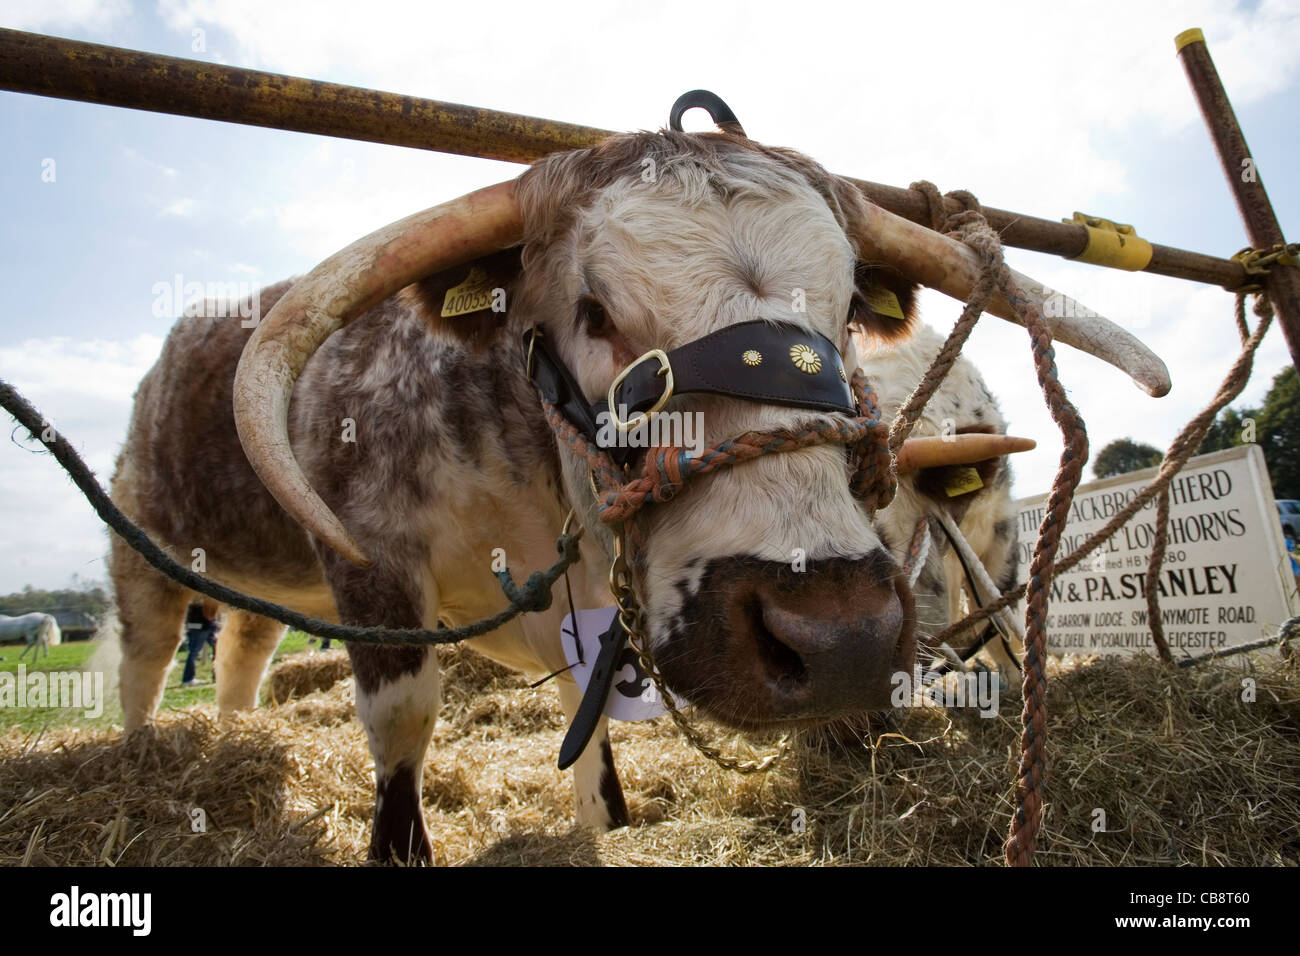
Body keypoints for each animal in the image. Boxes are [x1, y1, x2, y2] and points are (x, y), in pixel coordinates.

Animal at [109, 127, 1161, 862]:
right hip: (141, 551)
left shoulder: (591, 598)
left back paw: (233, 736)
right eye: (596, 311)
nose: (838, 637)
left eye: (845, 315)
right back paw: (141, 755)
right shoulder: (373, 563)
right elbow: (403, 724)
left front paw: (602, 820)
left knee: (242, 646)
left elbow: (592, 723)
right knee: (146, 657)